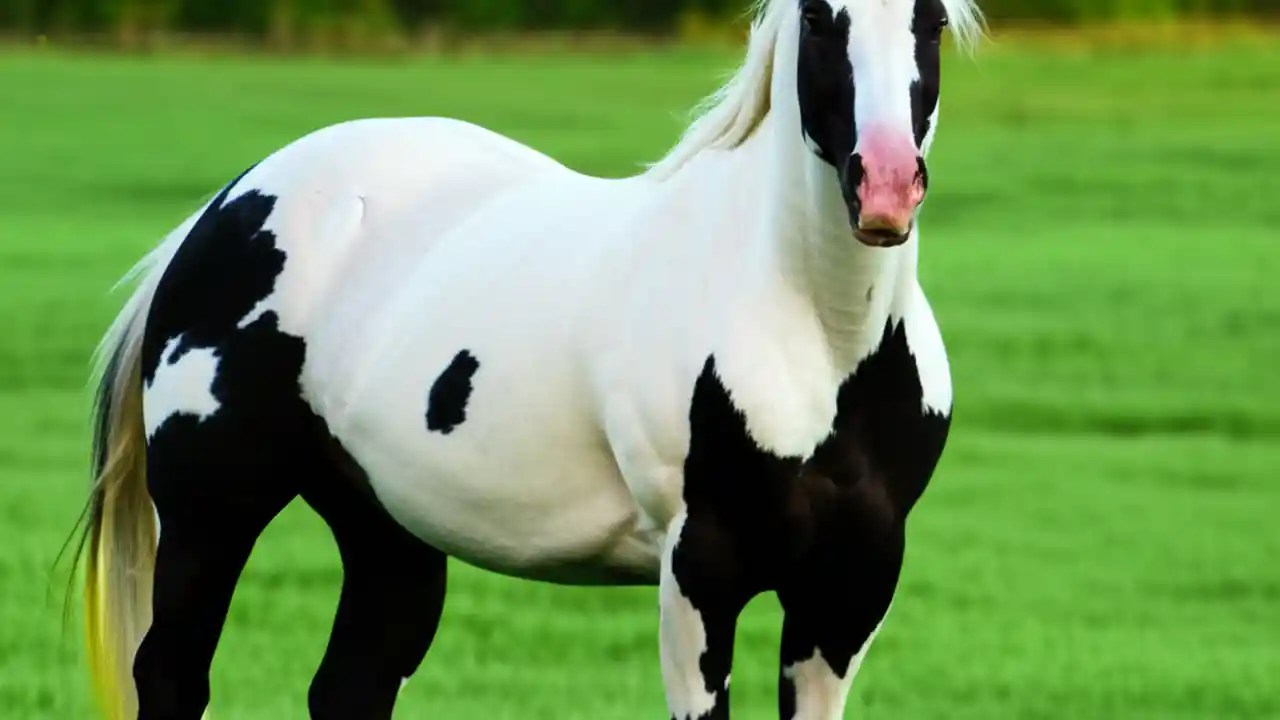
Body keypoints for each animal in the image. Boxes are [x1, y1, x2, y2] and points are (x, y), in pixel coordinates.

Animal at [78, 0, 982, 717]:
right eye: (822, 17)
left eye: (932, 19)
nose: (885, 187)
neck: (818, 342)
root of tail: (224, 207)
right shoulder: (701, 571)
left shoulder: (851, 583)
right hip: (210, 513)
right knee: (171, 677)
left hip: (385, 528)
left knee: (350, 685)